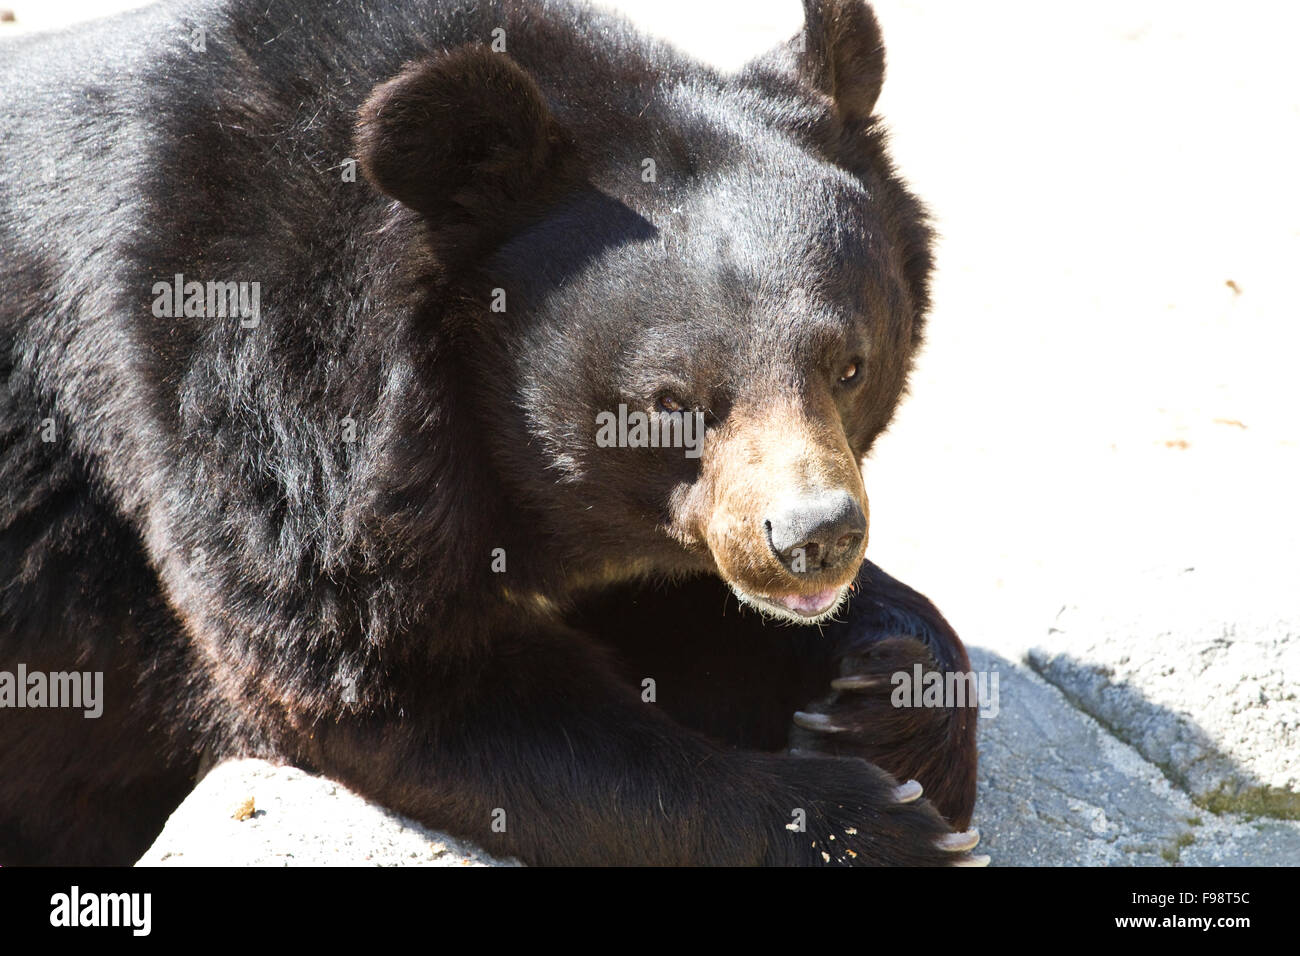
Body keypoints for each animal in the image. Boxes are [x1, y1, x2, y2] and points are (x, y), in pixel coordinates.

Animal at [0, 0, 981, 865]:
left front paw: (887, 697)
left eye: (848, 368)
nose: (815, 540)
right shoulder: (247, 415)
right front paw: (870, 827)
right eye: (670, 402)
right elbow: (399, 682)